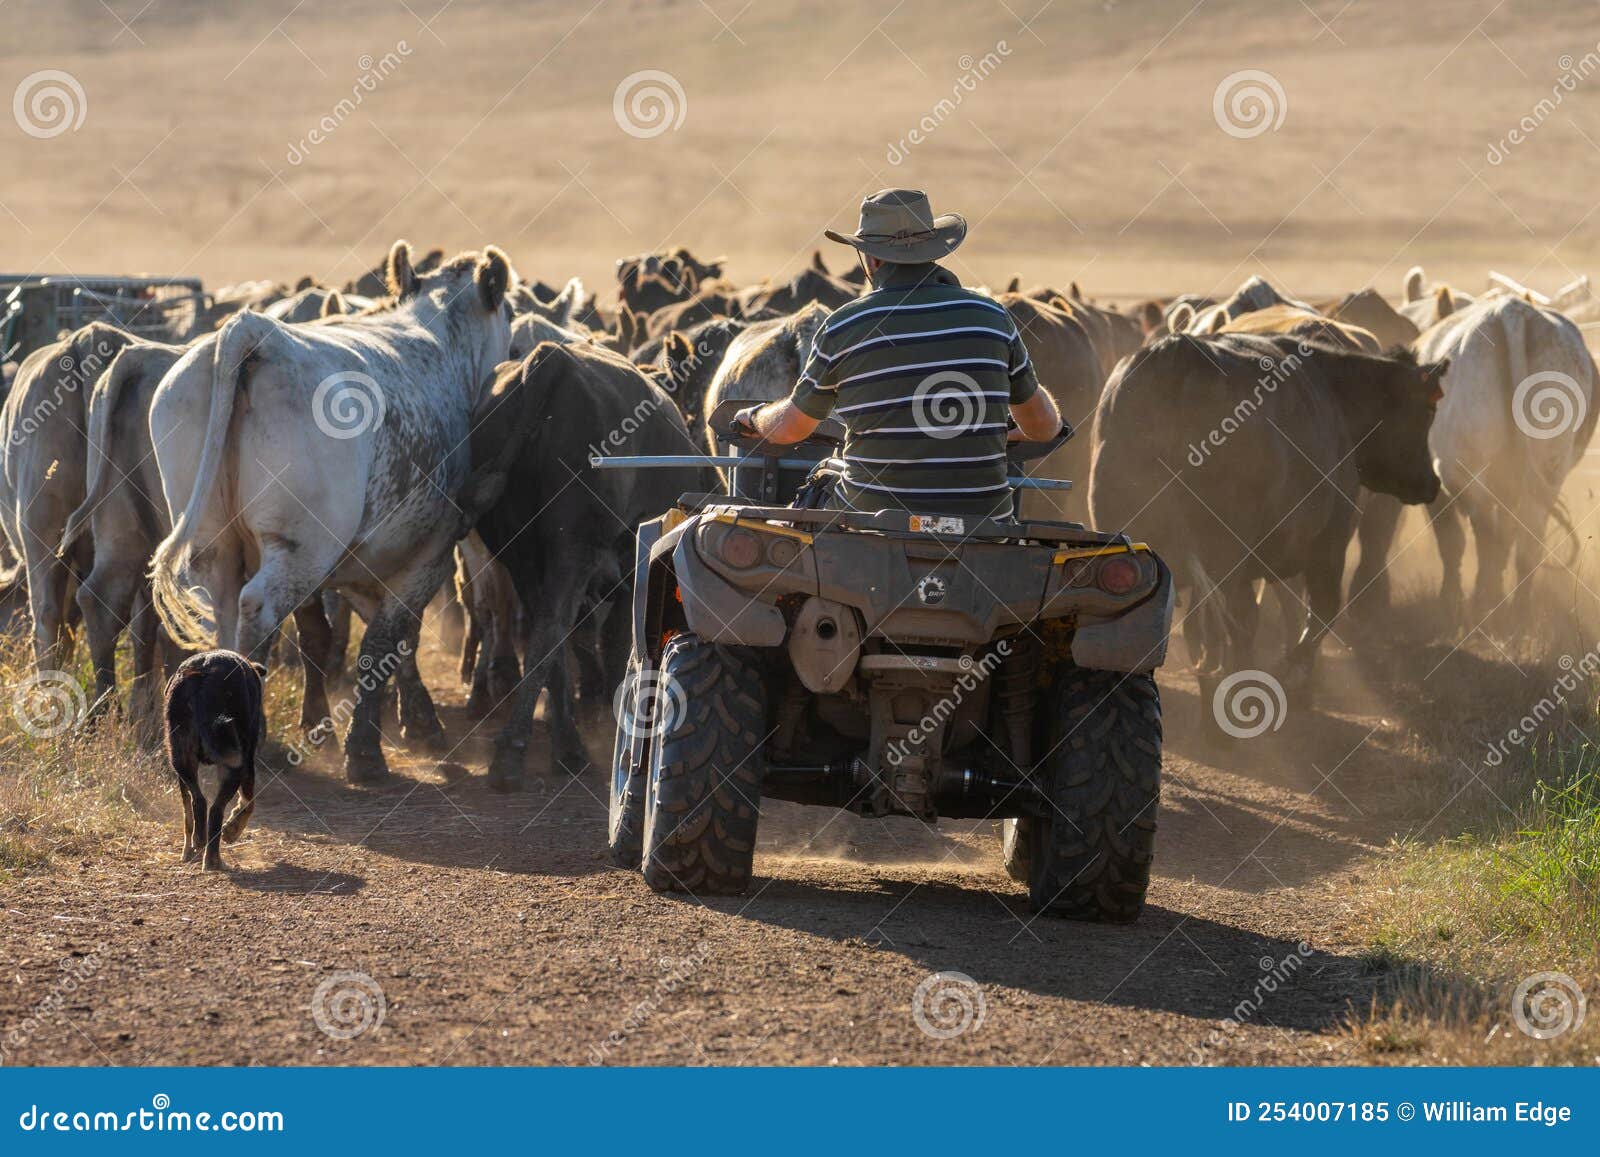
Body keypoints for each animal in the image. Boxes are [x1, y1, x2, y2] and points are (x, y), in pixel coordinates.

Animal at [148, 241, 516, 784]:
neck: (440, 344)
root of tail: (256, 333)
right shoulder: (426, 553)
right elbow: (386, 641)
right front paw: (367, 750)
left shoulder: (353, 563)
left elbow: (342, 638)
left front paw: (402, 721)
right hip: (300, 548)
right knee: (257, 609)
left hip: (222, 544)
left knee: (226, 611)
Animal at [163, 650, 265, 871]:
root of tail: (204, 670)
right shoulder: (247, 760)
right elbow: (249, 802)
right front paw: (233, 829)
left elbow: (187, 815)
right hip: (235, 764)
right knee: (216, 810)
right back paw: (213, 860)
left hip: (181, 760)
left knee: (197, 803)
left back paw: (197, 845)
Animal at [459, 341, 707, 789]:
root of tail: (550, 358)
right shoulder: (626, 568)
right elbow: (615, 639)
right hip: (569, 546)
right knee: (551, 627)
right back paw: (517, 751)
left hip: (520, 551)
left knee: (548, 630)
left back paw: (567, 747)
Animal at [1089, 334, 1445, 725]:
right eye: (1427, 413)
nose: (1432, 483)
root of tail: (1177, 353)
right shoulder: (1329, 542)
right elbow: (1321, 612)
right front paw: (1290, 675)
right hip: (1224, 557)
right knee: (1227, 629)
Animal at [1352, 295, 1599, 623]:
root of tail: (1511, 312)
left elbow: (1451, 541)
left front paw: (1449, 598)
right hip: (1547, 472)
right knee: (1524, 539)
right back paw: (1516, 611)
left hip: (1464, 473)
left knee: (1485, 535)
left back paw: (1486, 601)